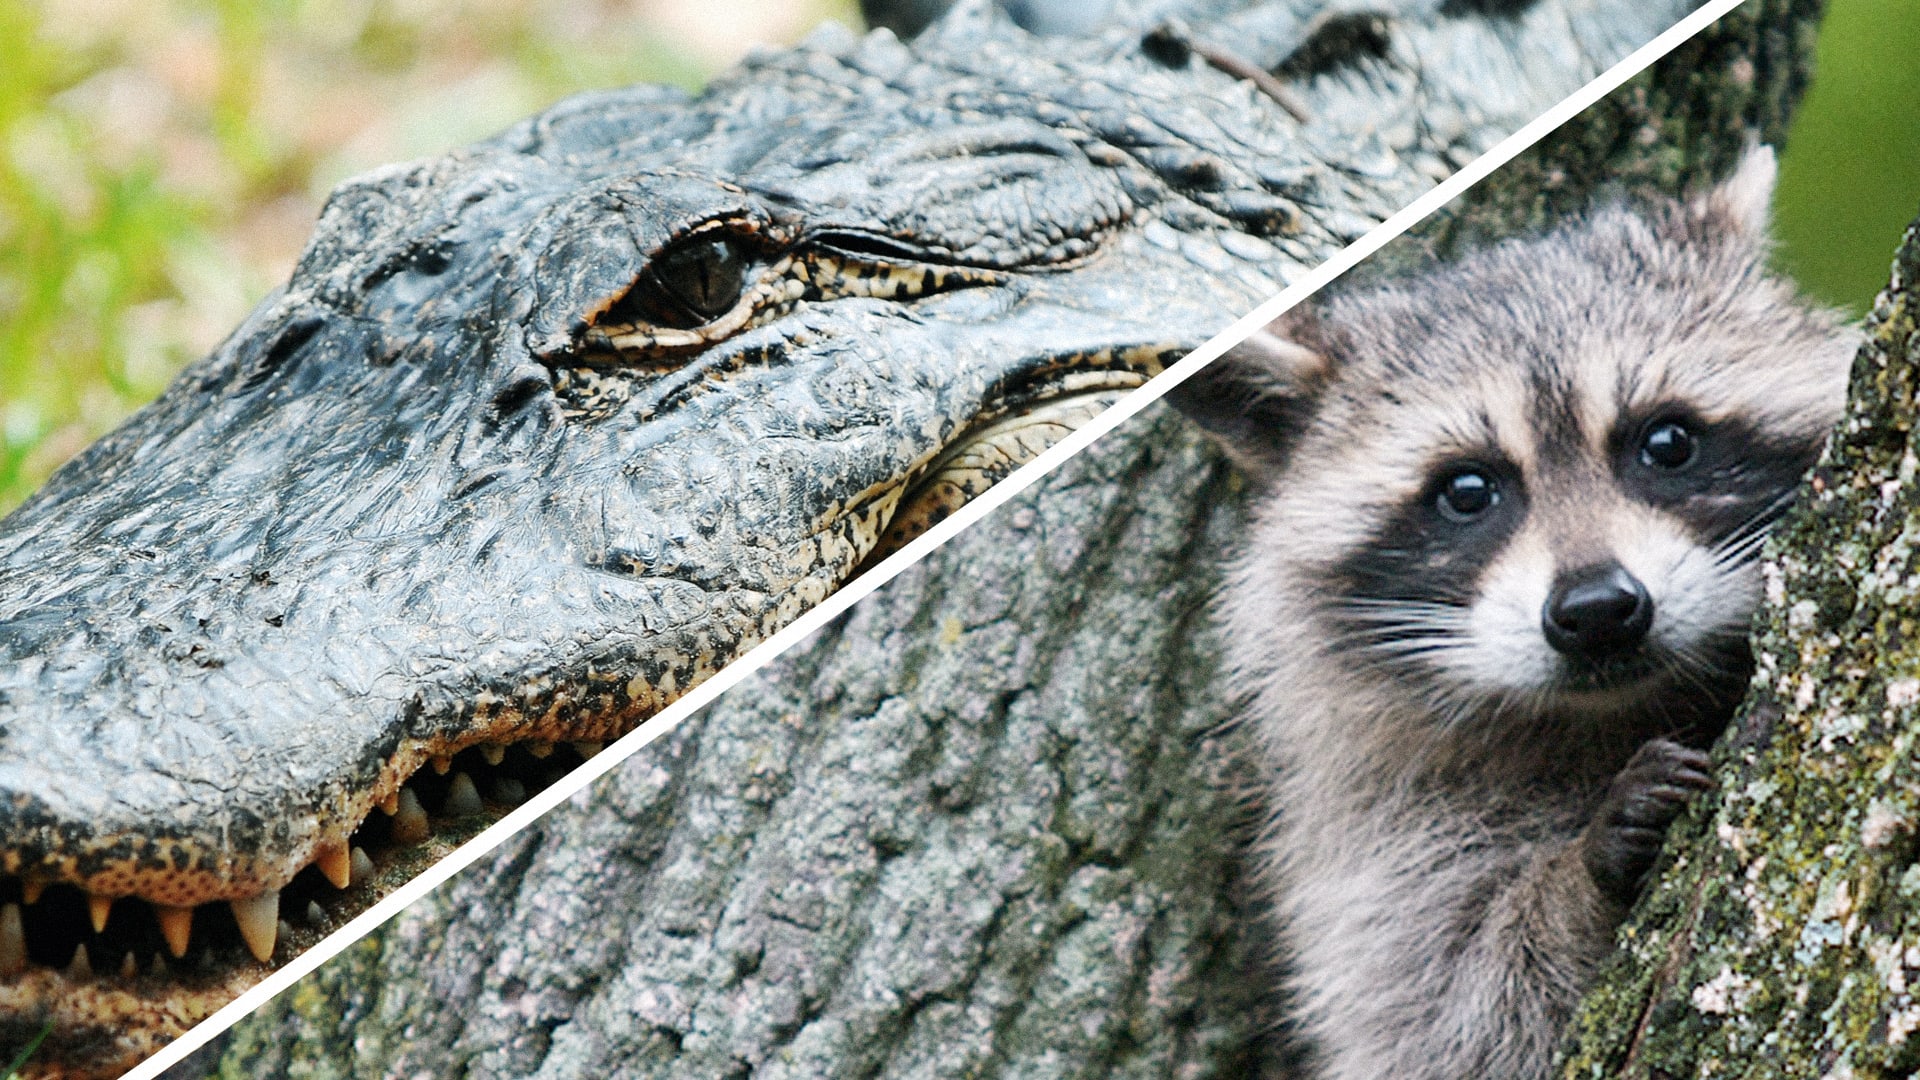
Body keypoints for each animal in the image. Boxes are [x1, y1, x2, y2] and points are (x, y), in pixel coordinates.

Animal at [1174, 147, 1858, 1080]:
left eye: (1667, 442)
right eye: (1467, 491)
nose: (1599, 611)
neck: (1614, 711)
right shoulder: (1378, 831)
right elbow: (1446, 1014)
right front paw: (1576, 878)